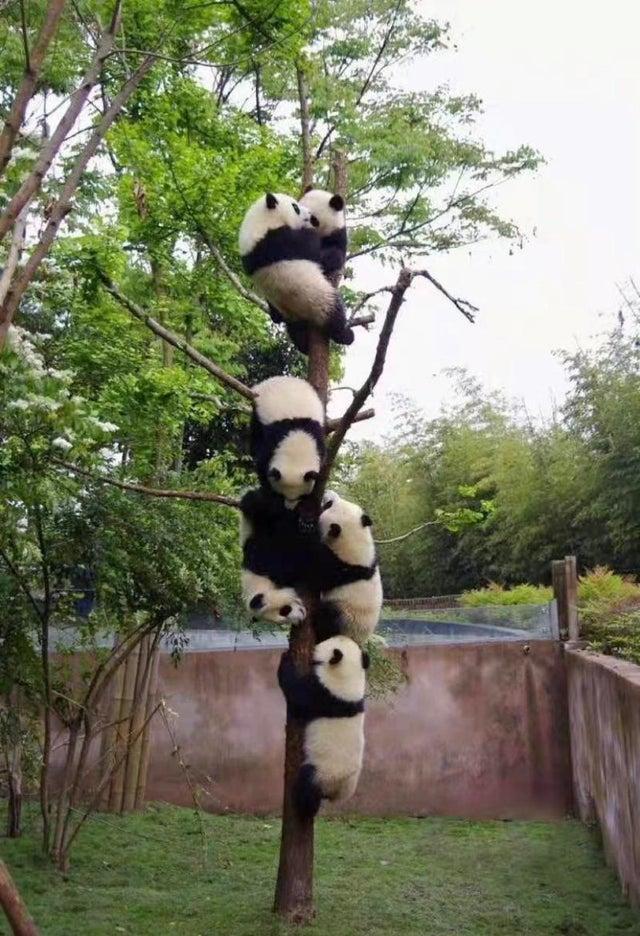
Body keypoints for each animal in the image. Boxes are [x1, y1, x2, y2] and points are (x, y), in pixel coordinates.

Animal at [238, 192, 354, 353]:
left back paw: (303, 345)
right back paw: (345, 335)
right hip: (316, 297)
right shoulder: (281, 240)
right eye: (296, 207)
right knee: (334, 313)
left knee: (294, 330)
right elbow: (321, 253)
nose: (309, 214)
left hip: (292, 311)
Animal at [250, 376, 325, 506]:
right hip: (257, 408)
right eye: (282, 495)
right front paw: (269, 493)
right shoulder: (273, 440)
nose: (290, 507)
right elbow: (262, 465)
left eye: (301, 496)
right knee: (255, 430)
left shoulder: (316, 438)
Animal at [277, 634, 368, 818]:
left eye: (320, 645)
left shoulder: (323, 693)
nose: (314, 647)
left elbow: (297, 695)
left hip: (325, 773)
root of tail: (337, 793)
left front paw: (285, 660)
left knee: (308, 783)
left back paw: (304, 808)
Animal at [315, 491, 383, 645]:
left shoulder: (337, 567)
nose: (328, 492)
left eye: (328, 505)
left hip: (347, 615)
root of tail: (356, 640)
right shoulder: (371, 559)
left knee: (329, 616)